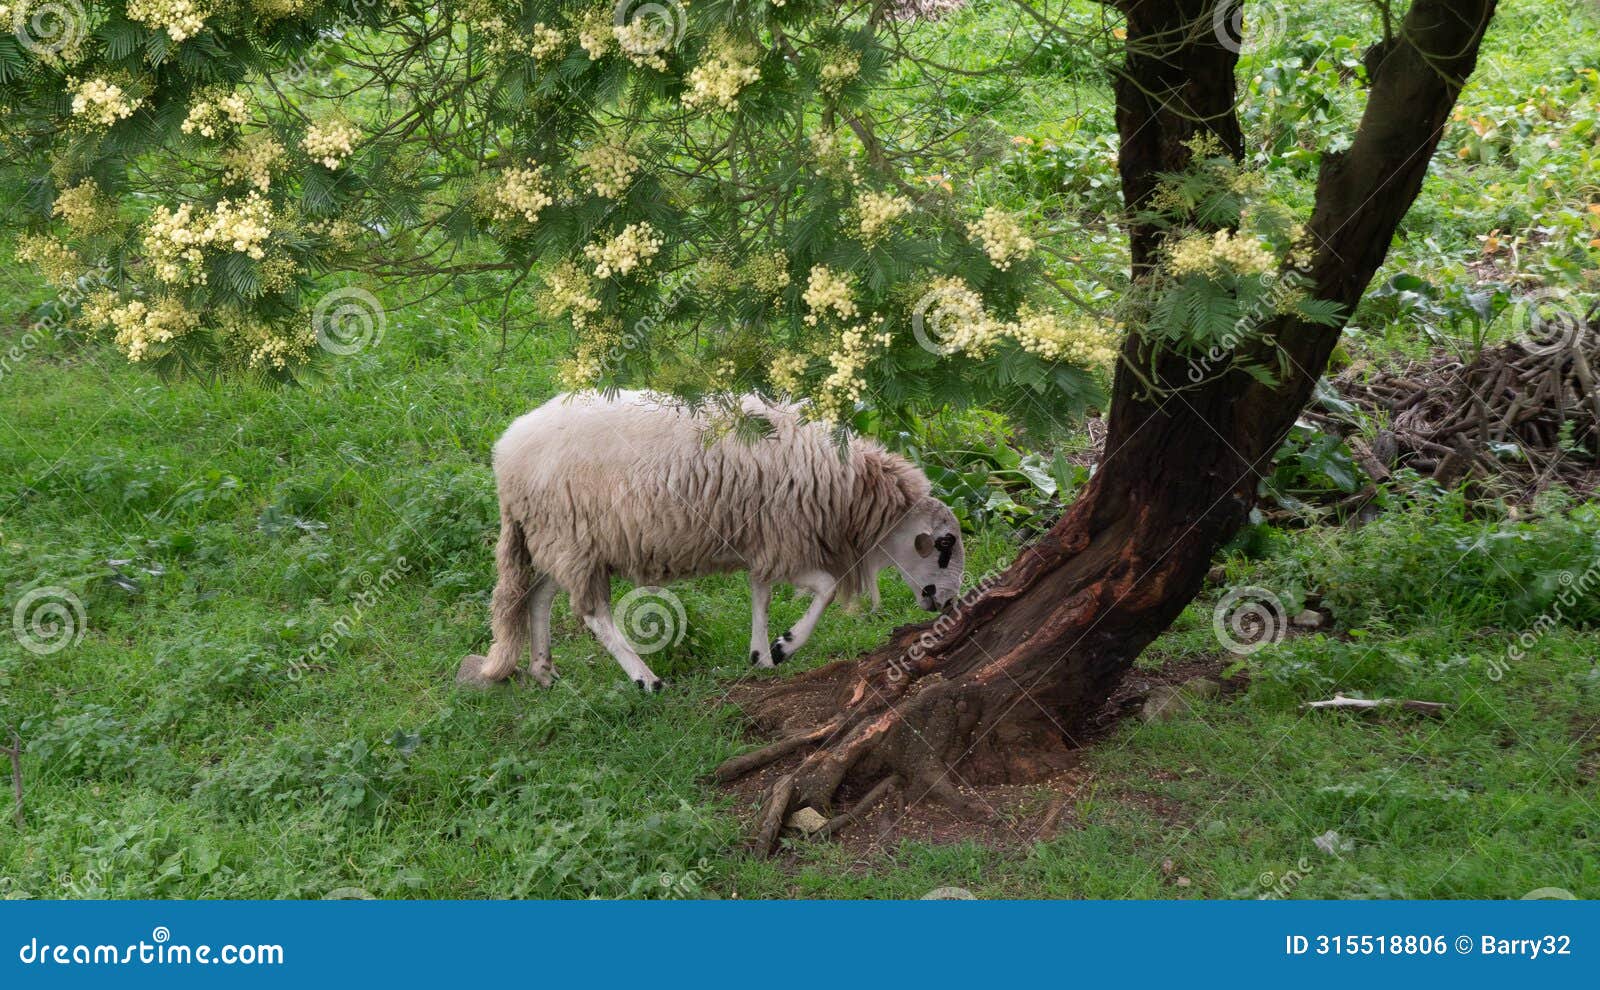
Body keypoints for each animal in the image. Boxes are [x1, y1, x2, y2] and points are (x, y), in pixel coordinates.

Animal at [456, 390, 965, 691]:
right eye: (944, 545)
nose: (949, 604)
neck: (852, 492)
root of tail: (505, 453)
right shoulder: (786, 538)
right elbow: (825, 588)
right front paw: (786, 644)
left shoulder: (765, 541)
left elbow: (760, 594)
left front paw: (762, 654)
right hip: (571, 536)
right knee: (593, 615)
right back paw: (645, 679)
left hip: (559, 539)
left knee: (536, 596)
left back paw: (544, 669)